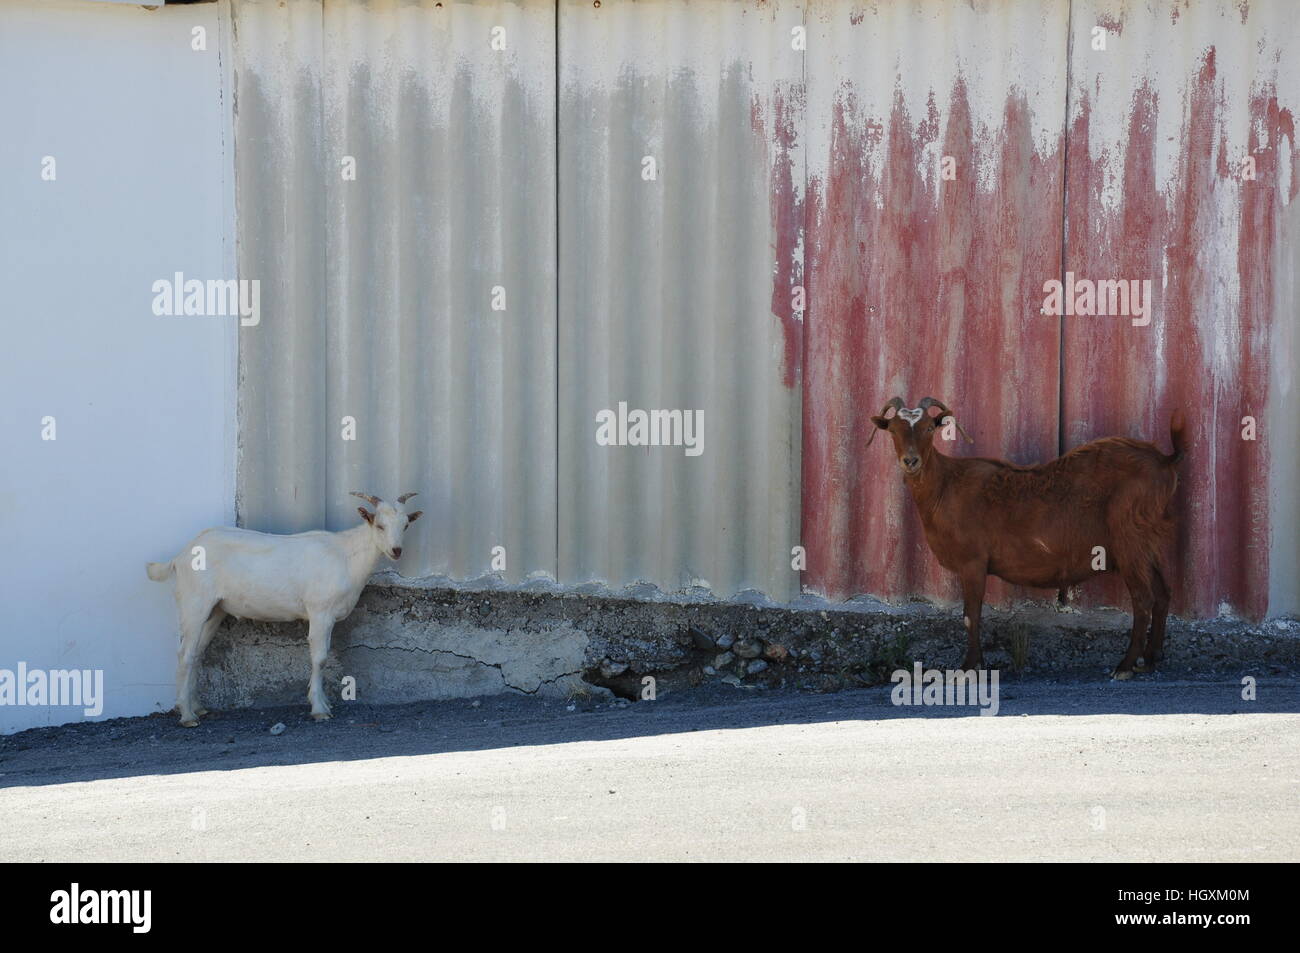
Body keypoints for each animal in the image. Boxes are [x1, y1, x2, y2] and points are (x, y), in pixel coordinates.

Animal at [146, 491, 422, 726]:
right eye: (380, 525)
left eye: (406, 526)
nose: (396, 550)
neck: (346, 556)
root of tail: (180, 557)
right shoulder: (320, 611)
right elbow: (320, 658)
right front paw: (319, 709)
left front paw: (324, 703)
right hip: (195, 602)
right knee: (185, 653)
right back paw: (187, 715)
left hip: (216, 609)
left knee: (197, 653)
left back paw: (197, 707)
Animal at [869, 398, 1185, 678]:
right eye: (893, 430)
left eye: (928, 428)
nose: (911, 461)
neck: (945, 486)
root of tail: (1164, 460)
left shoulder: (973, 561)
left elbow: (971, 615)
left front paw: (970, 666)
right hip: (1146, 542)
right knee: (1162, 593)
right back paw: (1150, 659)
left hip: (1129, 540)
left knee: (1143, 599)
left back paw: (1125, 666)